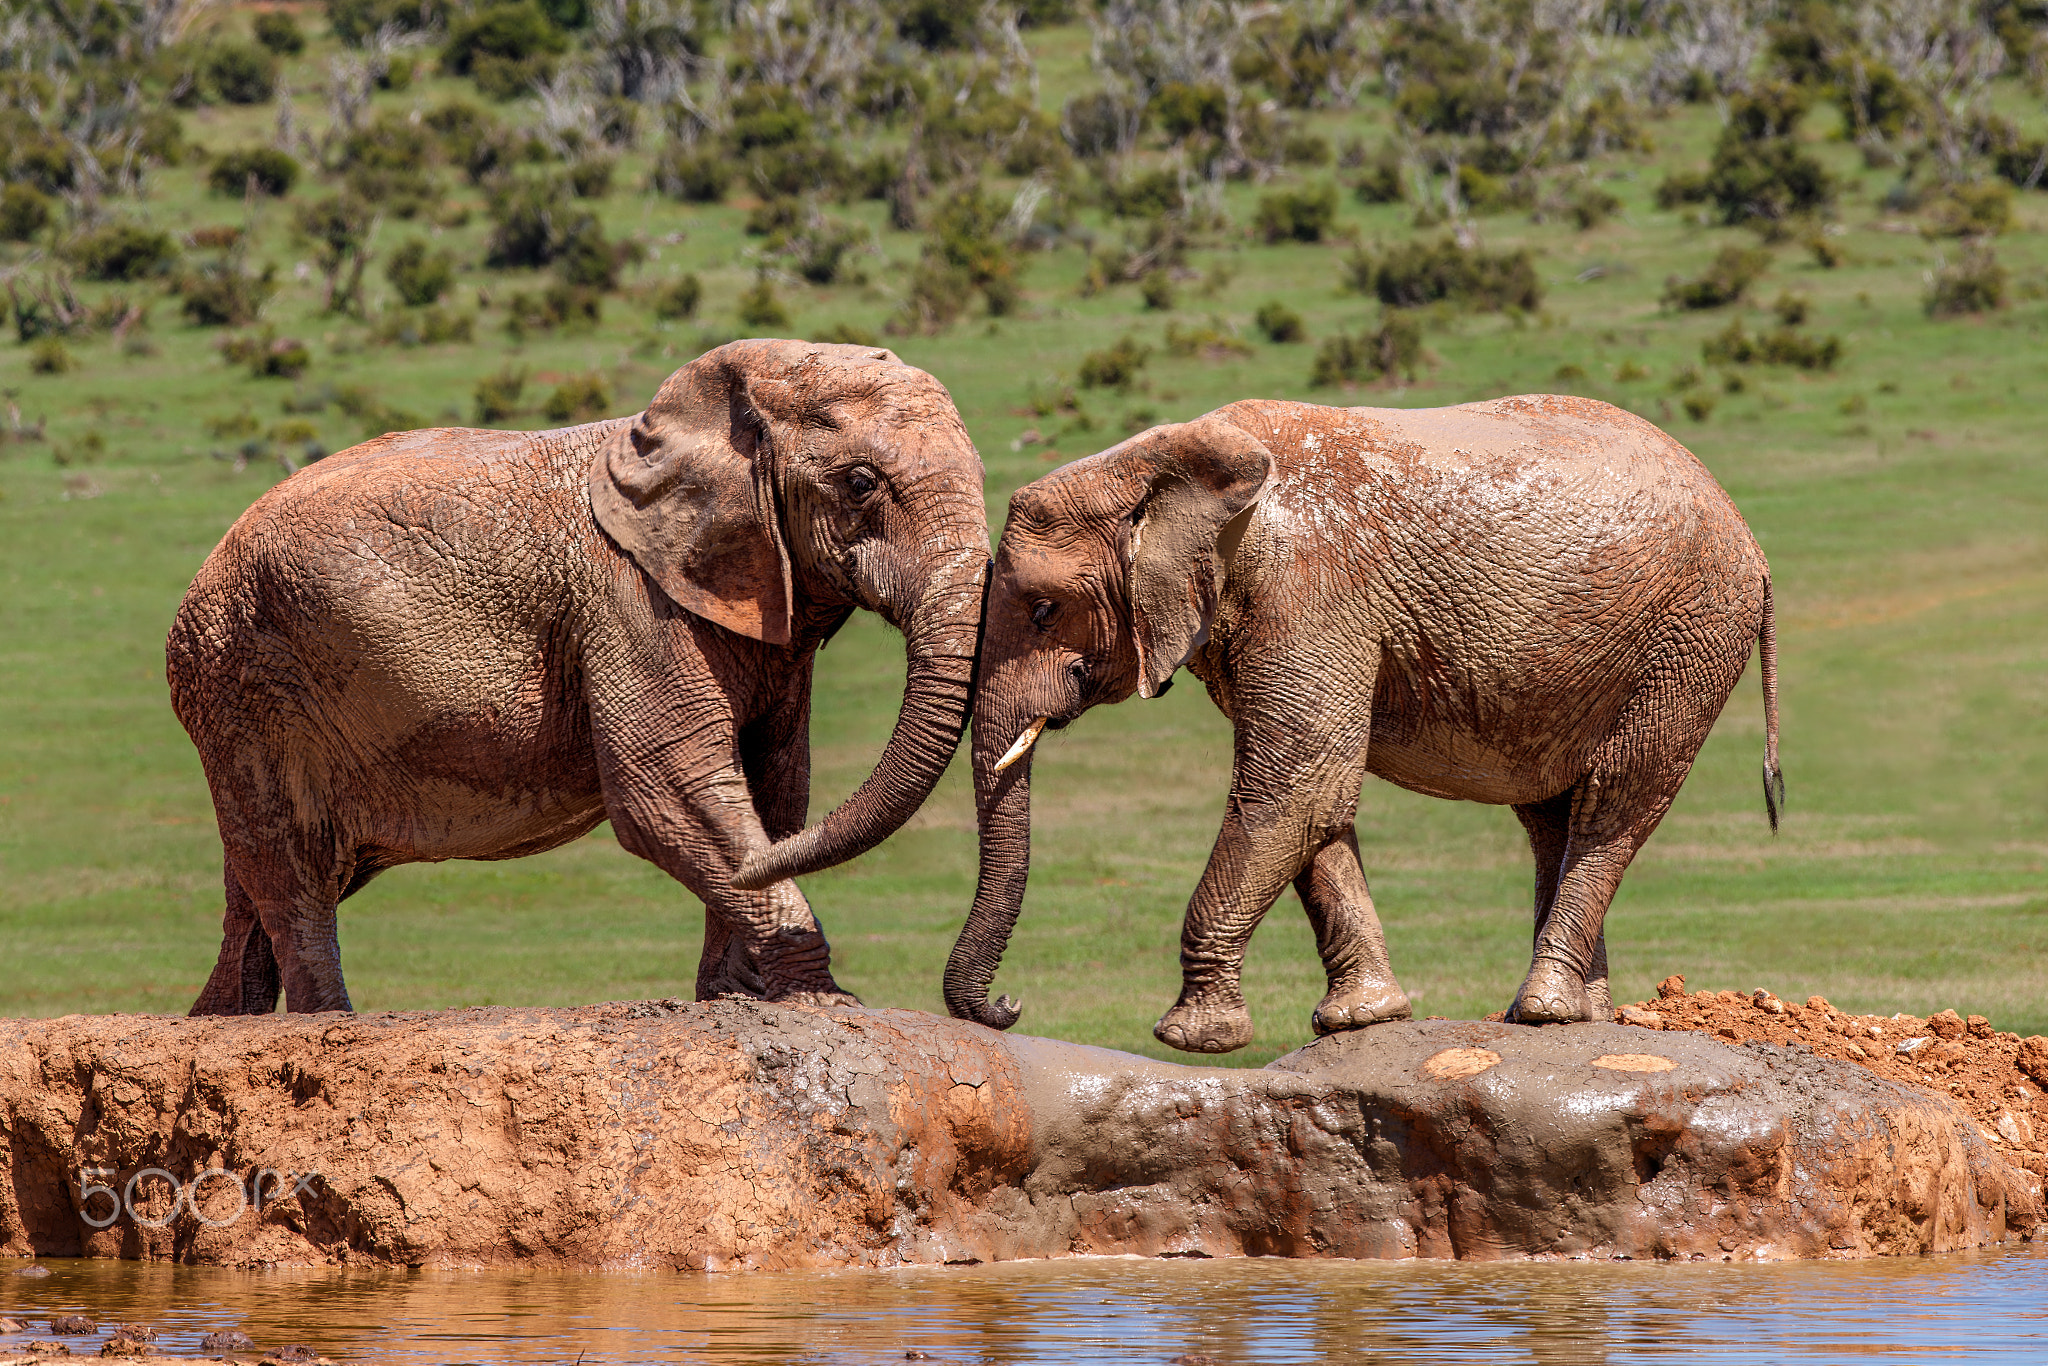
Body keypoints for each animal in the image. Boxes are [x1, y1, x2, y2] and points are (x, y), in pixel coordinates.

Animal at [167, 339, 989, 1015]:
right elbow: (671, 789)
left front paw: (735, 999)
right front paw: (820, 998)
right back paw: (329, 1022)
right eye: (860, 484)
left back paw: (220, 1020)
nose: (1002, 1006)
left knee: (256, 891)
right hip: (248, 681)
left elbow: (775, 791)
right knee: (295, 874)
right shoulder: (629, 601)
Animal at [948, 395, 1783, 1053]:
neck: (1169, 456)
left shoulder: (1310, 588)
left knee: (1616, 799)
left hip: (1689, 635)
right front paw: (1362, 1021)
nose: (1009, 1006)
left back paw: (1544, 1010)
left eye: (1045, 609)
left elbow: (1296, 785)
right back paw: (1578, 1018)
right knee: (1553, 814)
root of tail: (1752, 537)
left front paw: (1194, 1038)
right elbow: (1312, 802)